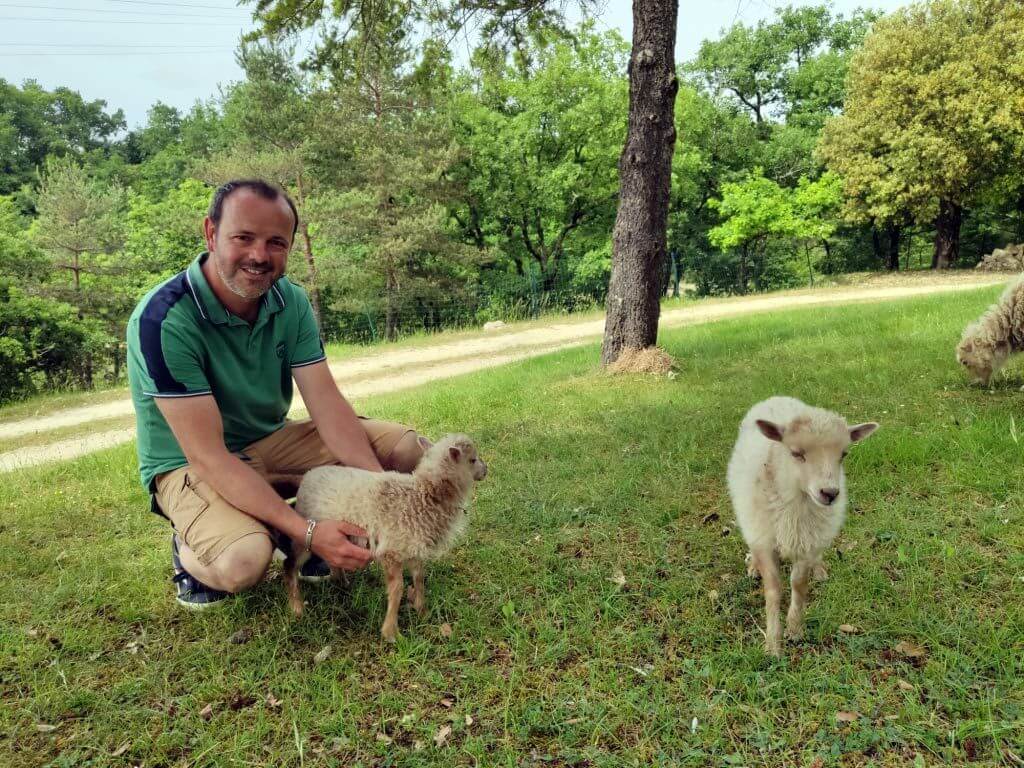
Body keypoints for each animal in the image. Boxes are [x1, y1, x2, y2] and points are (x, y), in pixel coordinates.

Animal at [287, 433, 487, 641]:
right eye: (472, 460)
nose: (486, 470)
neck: (424, 494)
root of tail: (308, 476)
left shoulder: (414, 549)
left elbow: (419, 579)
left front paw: (423, 611)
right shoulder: (391, 552)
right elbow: (397, 589)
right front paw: (392, 632)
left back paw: (341, 583)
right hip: (307, 534)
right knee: (290, 564)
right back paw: (297, 608)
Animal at [727, 397, 878, 656]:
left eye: (843, 454)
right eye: (796, 453)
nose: (830, 493)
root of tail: (778, 396)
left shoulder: (807, 542)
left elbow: (798, 585)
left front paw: (795, 630)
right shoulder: (765, 540)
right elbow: (773, 590)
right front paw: (773, 644)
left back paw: (819, 569)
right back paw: (753, 565)